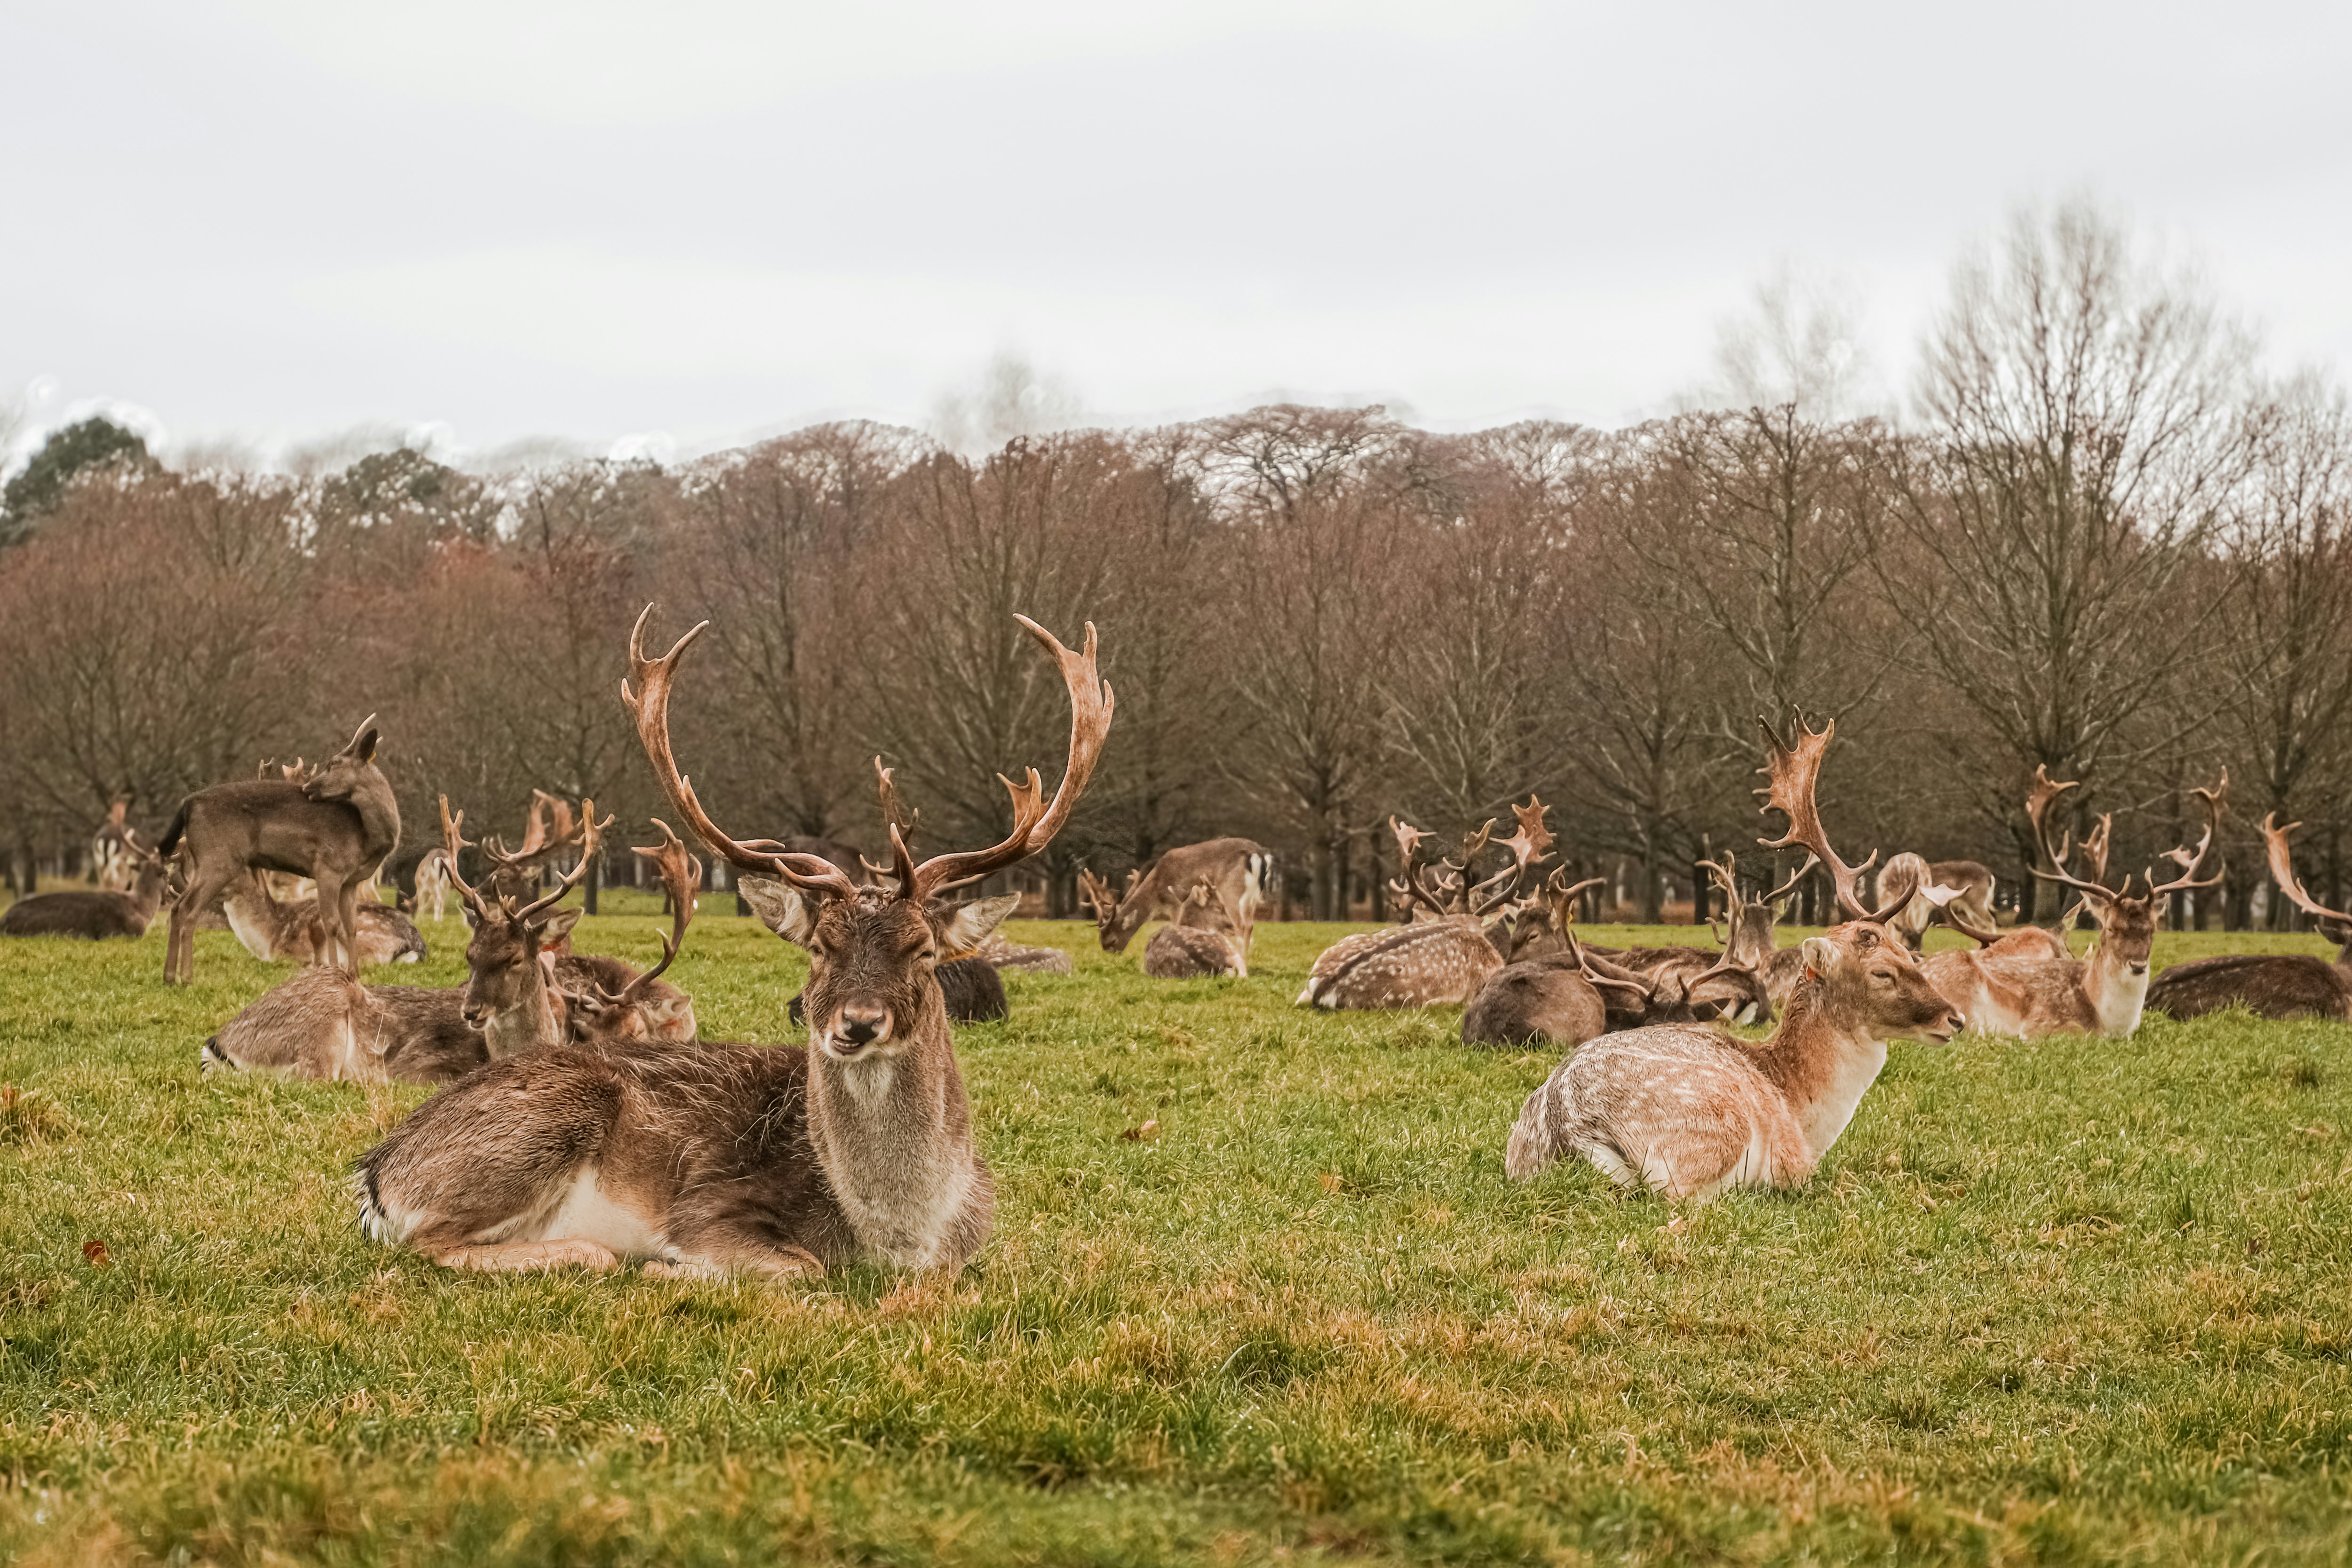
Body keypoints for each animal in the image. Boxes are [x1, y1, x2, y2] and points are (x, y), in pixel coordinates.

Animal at [158, 719, 400, 982]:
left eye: (334, 763)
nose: (307, 788)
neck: (364, 838)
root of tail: (188, 804)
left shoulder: (351, 881)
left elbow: (351, 926)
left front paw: (355, 975)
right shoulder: (327, 866)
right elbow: (332, 924)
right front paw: (335, 972)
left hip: (205, 860)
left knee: (176, 906)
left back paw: (169, 977)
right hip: (219, 857)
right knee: (188, 908)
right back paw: (186, 978)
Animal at [349, 604, 1112, 1280]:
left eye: (923, 950)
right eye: (820, 947)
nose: (857, 1024)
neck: (903, 1235)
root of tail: (377, 1175)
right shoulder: (710, 1205)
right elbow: (799, 1267)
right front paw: (671, 1269)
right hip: (541, 1126)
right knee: (431, 1243)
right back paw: (598, 1256)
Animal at [1081, 838, 1273, 960]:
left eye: (1112, 940)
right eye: (1101, 941)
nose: (1110, 958)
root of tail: (1259, 855)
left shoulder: (1176, 903)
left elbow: (1177, 927)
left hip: (1231, 890)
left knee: (1243, 926)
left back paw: (1242, 958)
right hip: (1252, 898)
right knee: (1250, 925)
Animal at [1505, 717, 1968, 1199]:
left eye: (1910, 956)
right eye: (1882, 972)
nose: (1955, 1018)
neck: (1796, 1101)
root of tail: (1568, 1131)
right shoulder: (1795, 1160)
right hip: (1713, 1132)